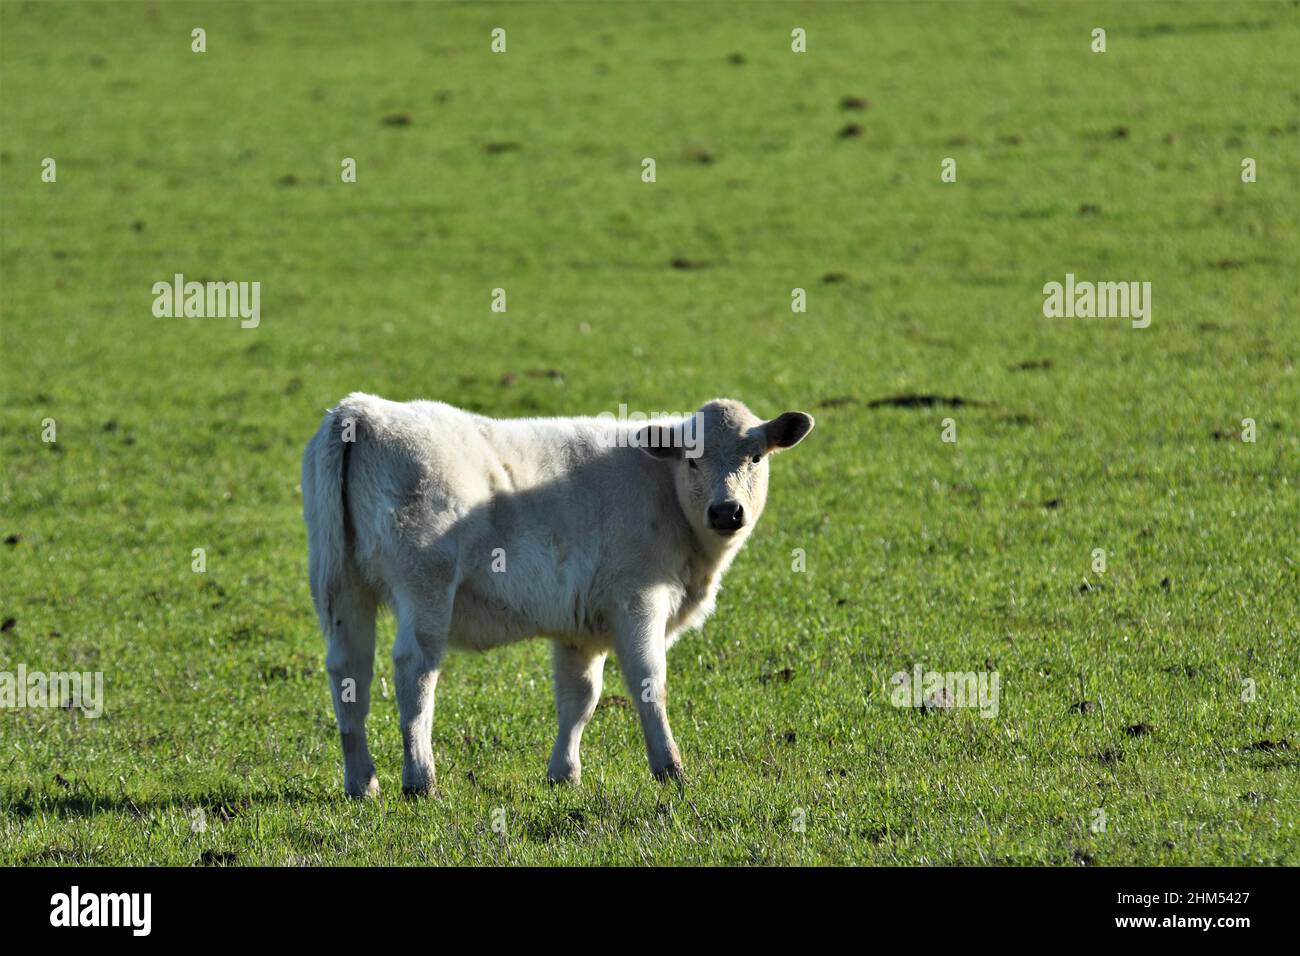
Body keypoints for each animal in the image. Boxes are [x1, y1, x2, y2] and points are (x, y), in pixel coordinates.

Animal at [301, 394, 814, 796]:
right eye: (692, 459)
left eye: (756, 457)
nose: (726, 511)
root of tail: (363, 408)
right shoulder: (638, 600)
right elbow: (649, 684)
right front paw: (670, 768)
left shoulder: (581, 629)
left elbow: (579, 698)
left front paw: (563, 774)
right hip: (425, 584)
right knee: (415, 672)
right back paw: (419, 779)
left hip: (339, 586)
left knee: (349, 673)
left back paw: (362, 782)